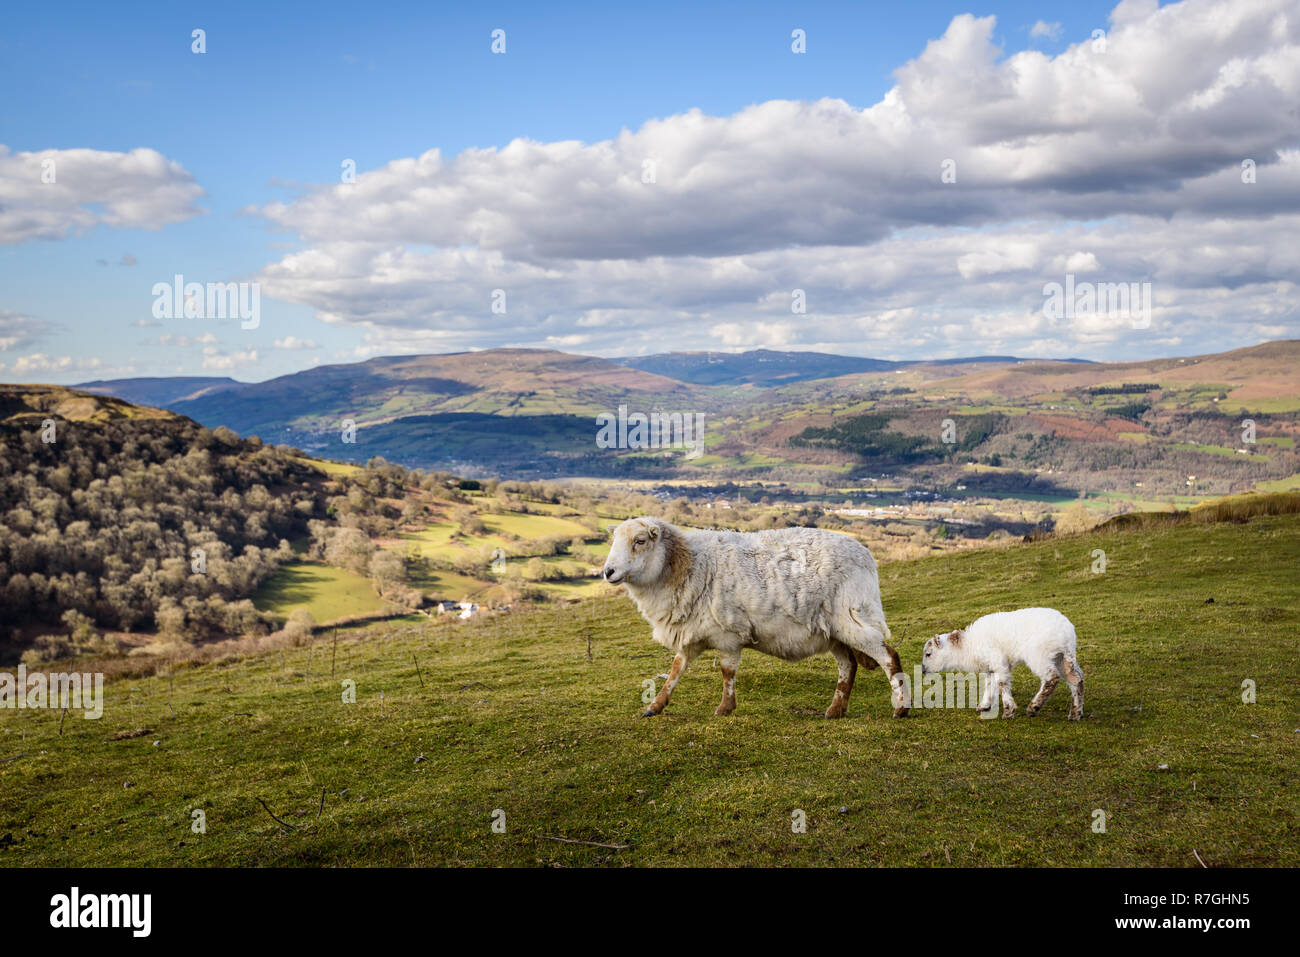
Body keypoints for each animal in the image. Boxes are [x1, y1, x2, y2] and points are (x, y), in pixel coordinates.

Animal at [602, 517, 908, 719]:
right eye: (613, 541)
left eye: (640, 541)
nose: (608, 572)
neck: (687, 565)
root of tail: (866, 554)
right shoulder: (692, 632)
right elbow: (676, 670)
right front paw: (655, 706)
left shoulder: (727, 635)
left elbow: (727, 672)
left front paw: (725, 708)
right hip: (833, 631)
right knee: (848, 666)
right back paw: (835, 710)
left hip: (854, 617)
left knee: (889, 657)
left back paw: (901, 708)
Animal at [921, 607, 1084, 720]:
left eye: (928, 654)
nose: (923, 670)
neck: (968, 646)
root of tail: (1066, 631)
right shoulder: (991, 666)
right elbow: (989, 684)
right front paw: (984, 705)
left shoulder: (998, 661)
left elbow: (1001, 683)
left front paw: (1008, 711)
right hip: (1063, 657)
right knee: (1077, 679)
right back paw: (1075, 713)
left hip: (1039, 655)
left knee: (1052, 678)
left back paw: (1034, 707)